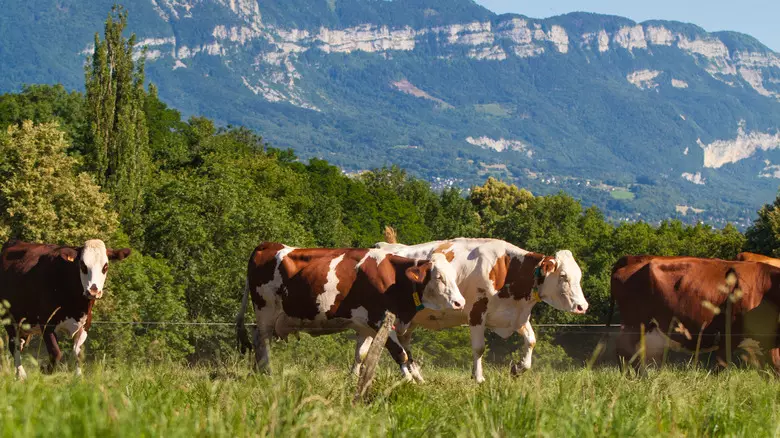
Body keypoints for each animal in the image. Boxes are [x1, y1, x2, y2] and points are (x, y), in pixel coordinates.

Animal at [0, 240, 131, 380]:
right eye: (83, 265)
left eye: (105, 267)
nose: (93, 291)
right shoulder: (47, 324)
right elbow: (56, 353)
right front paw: (44, 369)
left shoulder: (84, 326)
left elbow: (78, 354)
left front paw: (78, 377)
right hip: (9, 318)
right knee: (14, 346)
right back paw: (21, 375)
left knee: (20, 344)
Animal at [235, 243, 466, 380]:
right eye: (438, 277)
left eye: (454, 276)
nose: (460, 302)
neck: (393, 278)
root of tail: (268, 245)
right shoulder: (380, 320)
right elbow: (401, 354)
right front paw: (409, 382)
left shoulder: (365, 326)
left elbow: (362, 355)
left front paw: (354, 379)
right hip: (265, 309)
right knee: (262, 339)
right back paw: (267, 372)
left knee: (257, 337)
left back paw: (258, 371)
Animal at [354, 233, 592, 384]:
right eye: (563, 276)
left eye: (579, 276)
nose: (583, 306)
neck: (506, 268)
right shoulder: (477, 312)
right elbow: (479, 348)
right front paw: (478, 378)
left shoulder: (515, 317)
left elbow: (531, 341)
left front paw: (517, 368)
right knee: (376, 348)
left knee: (380, 347)